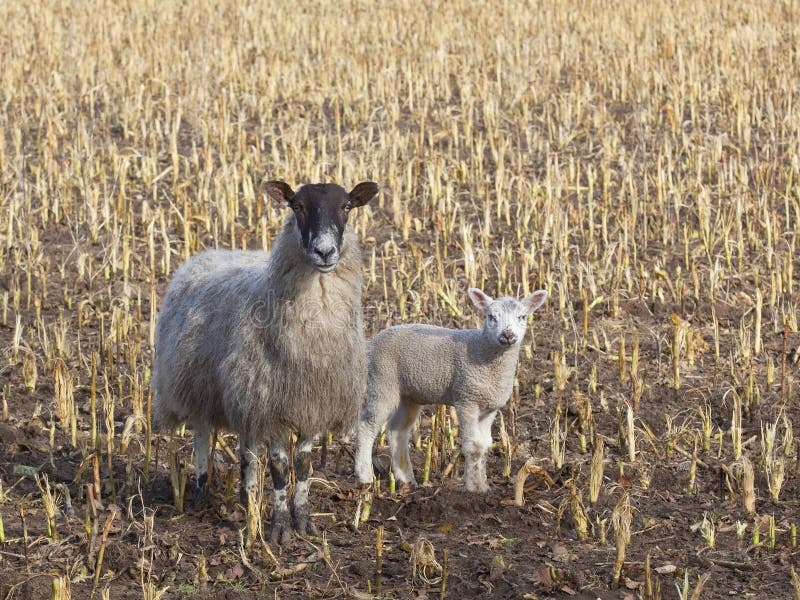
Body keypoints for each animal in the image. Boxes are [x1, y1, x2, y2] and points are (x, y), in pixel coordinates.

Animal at [152, 180, 379, 543]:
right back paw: (201, 492)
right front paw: (279, 529)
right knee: (202, 435)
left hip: (244, 396)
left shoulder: (309, 404)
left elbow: (303, 465)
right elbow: (279, 468)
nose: (325, 252)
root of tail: (211, 253)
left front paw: (304, 521)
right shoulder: (275, 407)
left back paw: (247, 497)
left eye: (346, 206)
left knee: (247, 452)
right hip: (196, 385)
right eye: (297, 206)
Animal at [355, 287, 548, 493]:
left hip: (409, 394)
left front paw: (483, 485)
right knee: (367, 425)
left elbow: (485, 445)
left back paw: (406, 478)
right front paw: (473, 488)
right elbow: (474, 446)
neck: (484, 352)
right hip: (382, 381)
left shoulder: (489, 406)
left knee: (397, 430)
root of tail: (372, 342)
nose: (508, 335)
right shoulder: (467, 398)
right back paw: (365, 476)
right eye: (491, 316)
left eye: (522, 317)